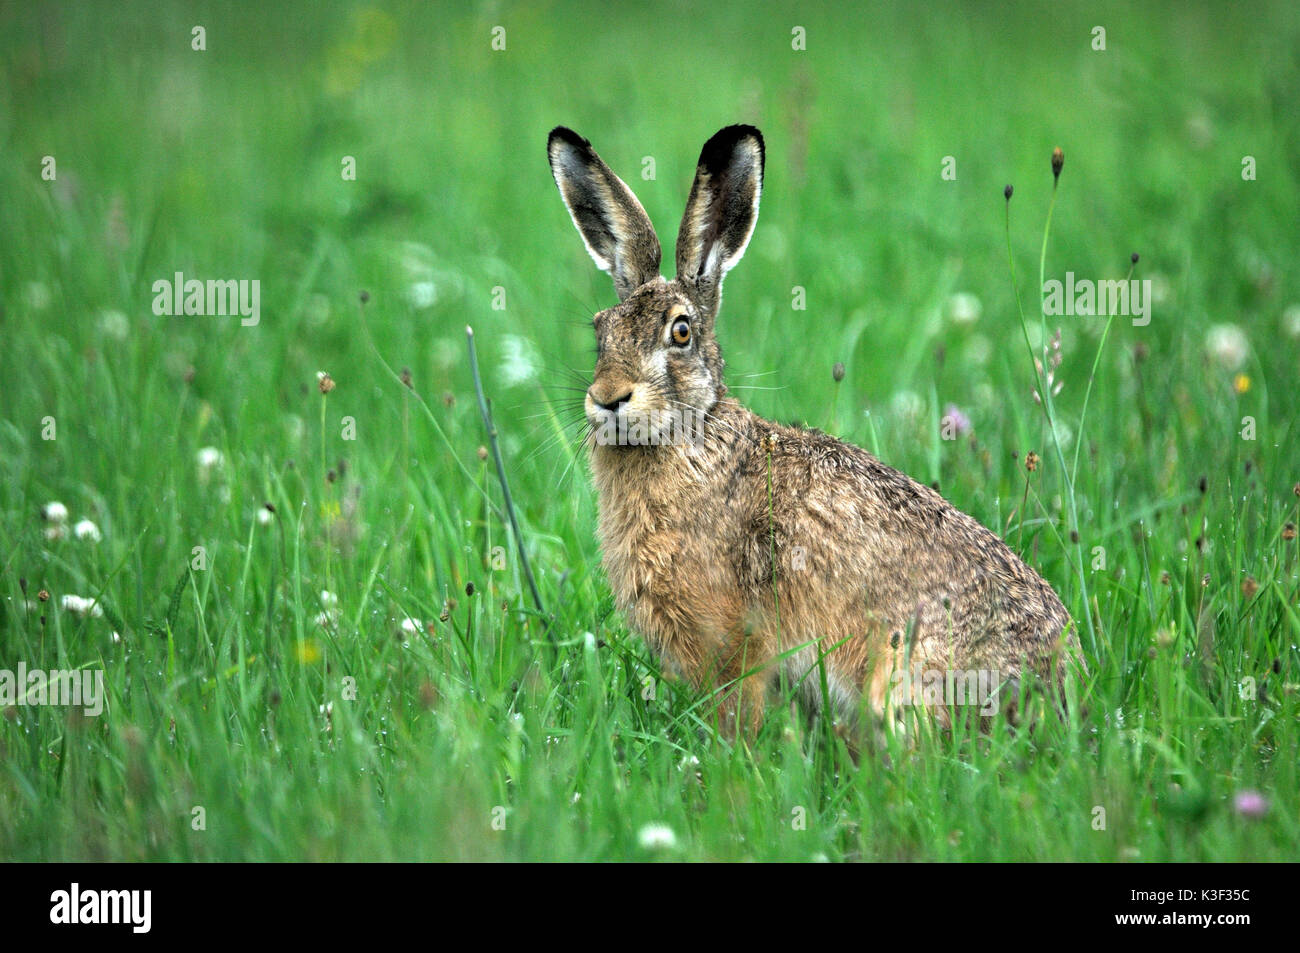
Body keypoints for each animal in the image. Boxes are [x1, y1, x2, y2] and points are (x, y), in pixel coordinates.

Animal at [547, 123, 1080, 736]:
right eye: (600, 333)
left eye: (680, 332)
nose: (608, 399)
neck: (692, 433)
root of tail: (1061, 691)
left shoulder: (733, 641)